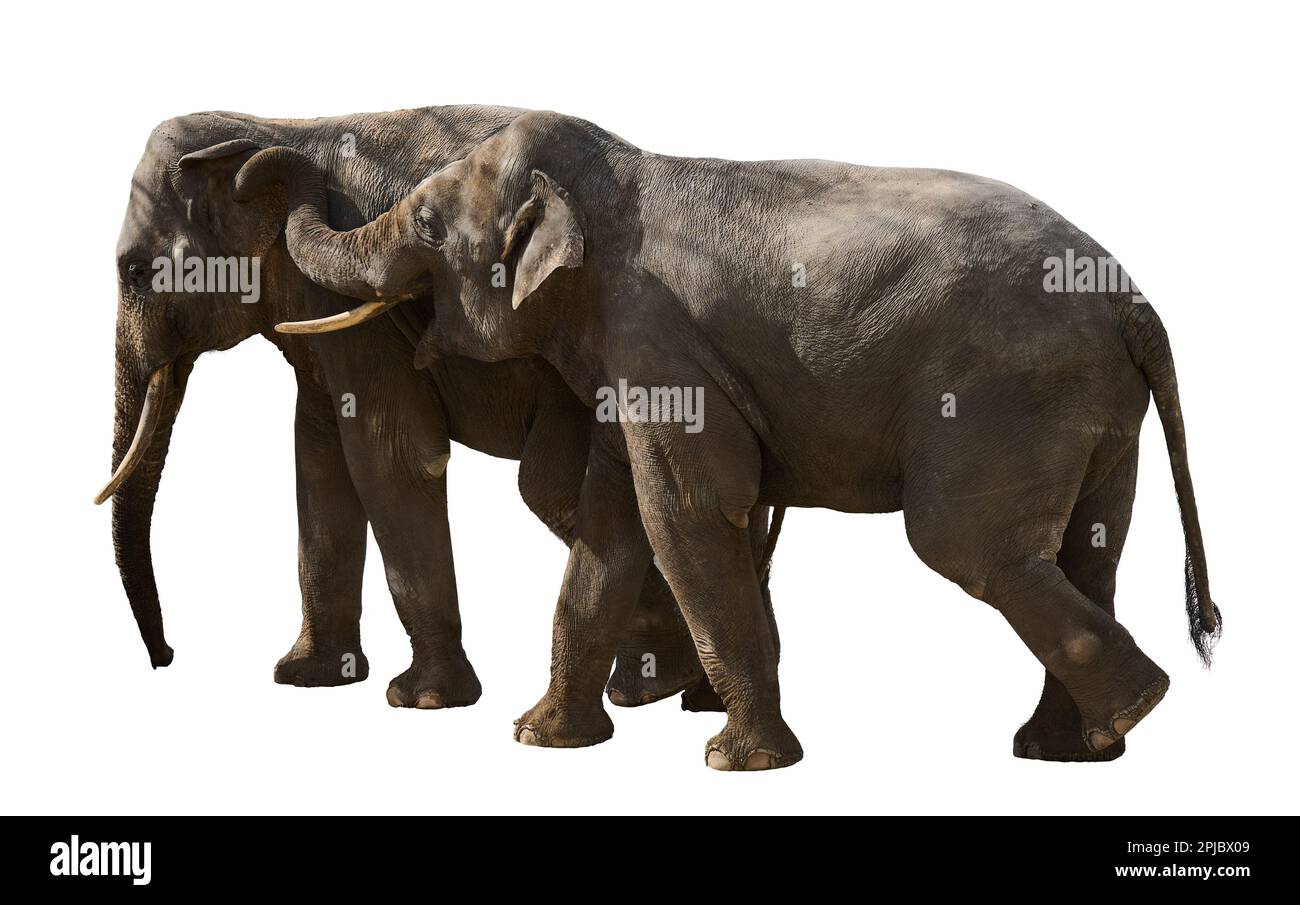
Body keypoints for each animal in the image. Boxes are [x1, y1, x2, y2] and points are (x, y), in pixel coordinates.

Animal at [100, 106, 782, 712]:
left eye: (134, 271)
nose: (166, 659)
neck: (275, 123)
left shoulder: (352, 314)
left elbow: (389, 457)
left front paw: (422, 699)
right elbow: (318, 459)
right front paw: (307, 678)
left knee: (549, 487)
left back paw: (658, 689)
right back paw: (686, 694)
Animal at [239, 109, 1221, 771]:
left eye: (429, 227)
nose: (259, 168)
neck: (619, 175)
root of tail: (1134, 303)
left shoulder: (658, 339)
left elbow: (686, 514)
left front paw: (734, 762)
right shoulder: (629, 360)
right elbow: (614, 523)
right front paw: (541, 739)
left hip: (1012, 395)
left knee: (969, 544)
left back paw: (1131, 711)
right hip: (1097, 414)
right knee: (1084, 550)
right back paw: (1073, 748)